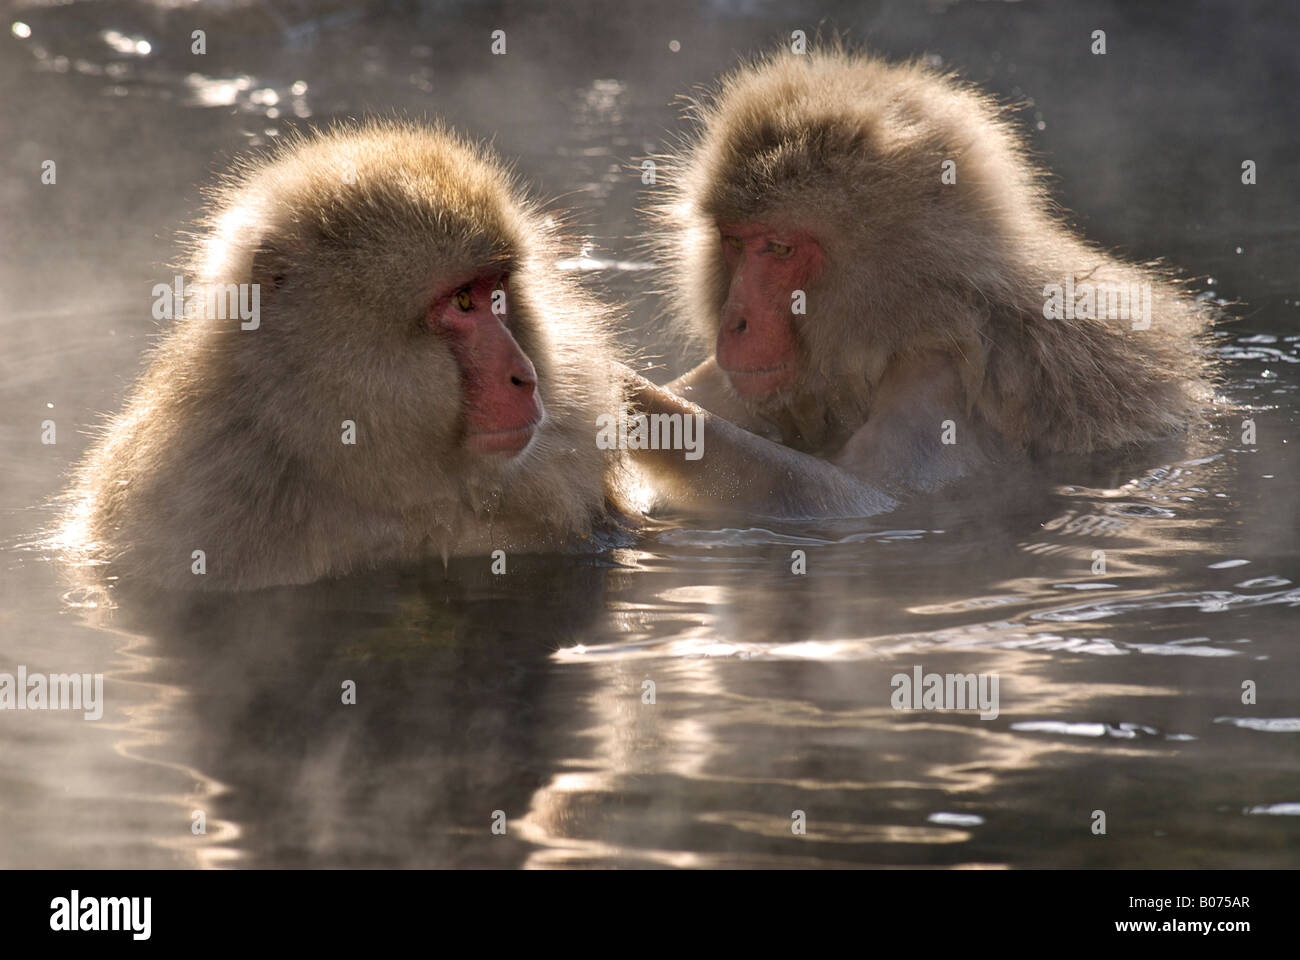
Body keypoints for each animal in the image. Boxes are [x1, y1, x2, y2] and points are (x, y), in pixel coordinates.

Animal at [628, 45, 1219, 512]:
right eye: (733, 242)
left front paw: (637, 401)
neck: (915, 312)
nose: (735, 322)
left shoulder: (935, 381)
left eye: (779, 248)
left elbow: (869, 502)